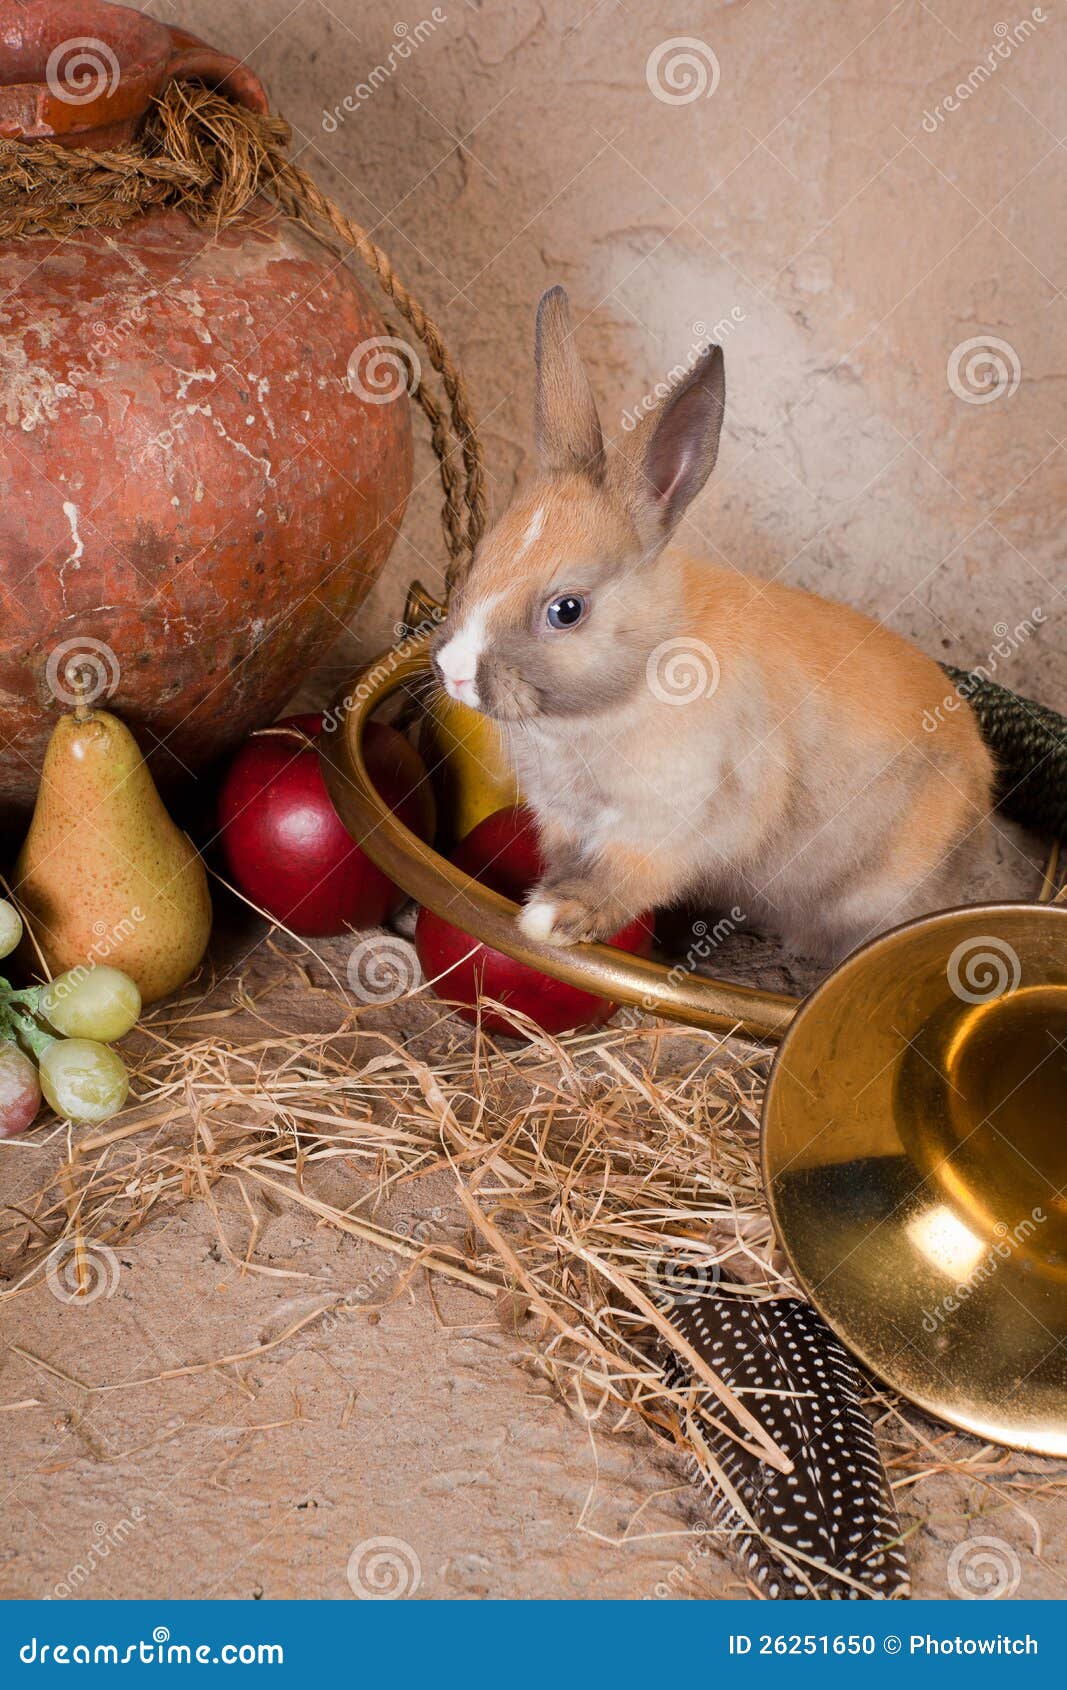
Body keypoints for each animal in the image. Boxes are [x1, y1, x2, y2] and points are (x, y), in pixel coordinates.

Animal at [431, 286, 996, 964]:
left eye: (566, 610)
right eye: (480, 560)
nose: (454, 673)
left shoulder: (665, 833)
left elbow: (620, 881)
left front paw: (551, 919)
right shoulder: (566, 820)